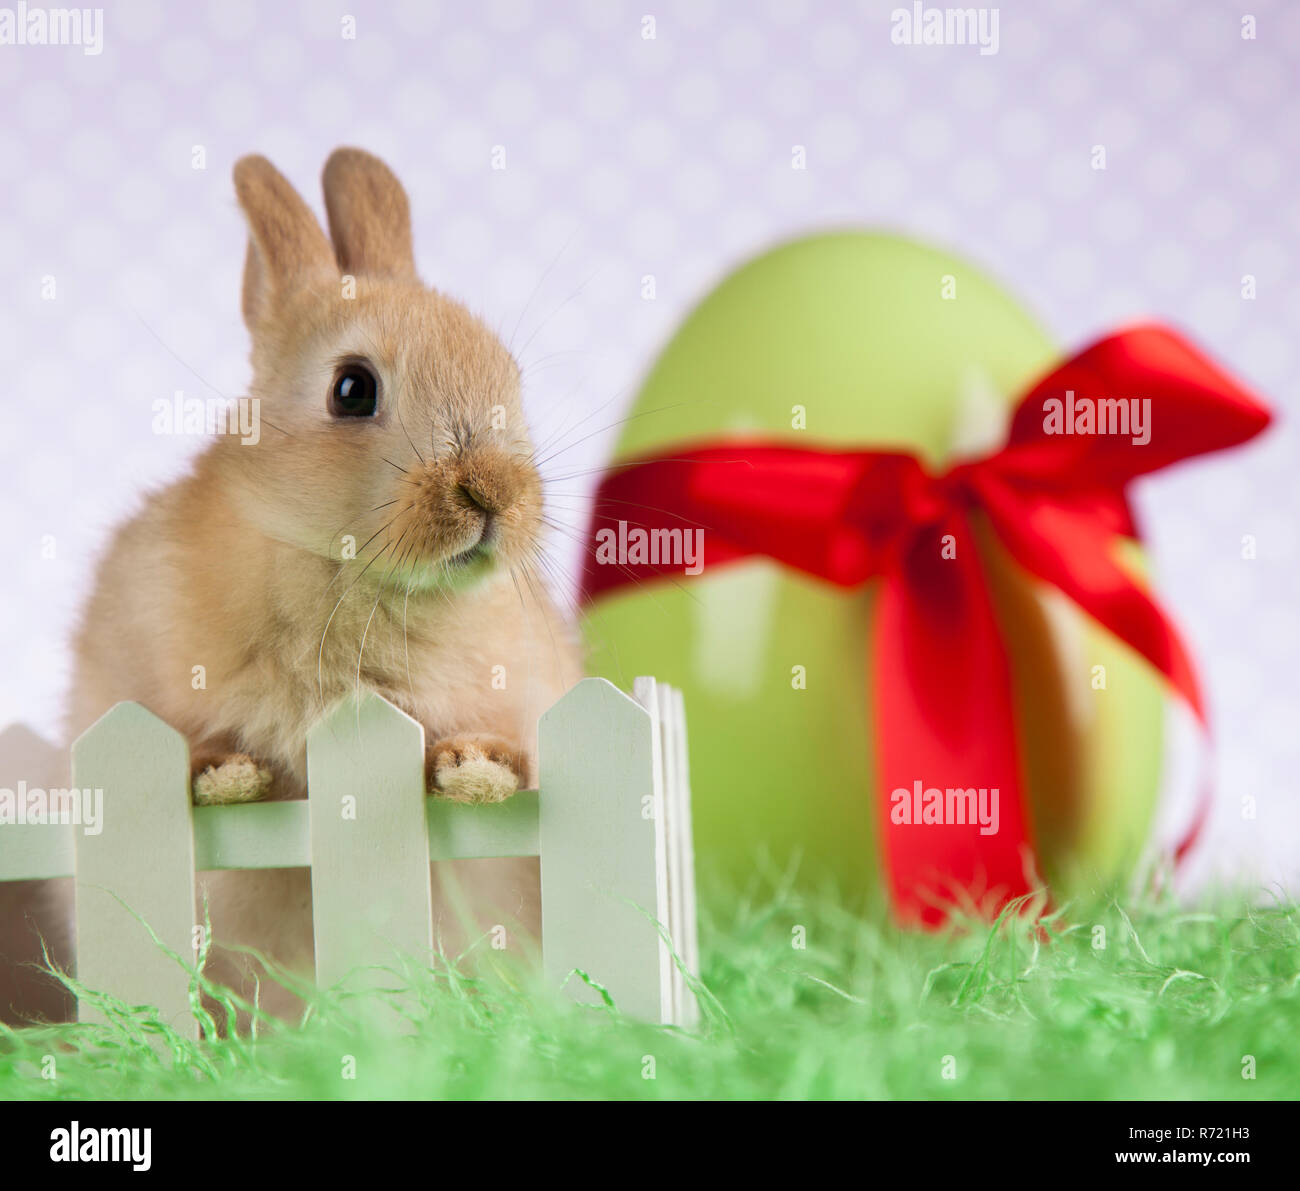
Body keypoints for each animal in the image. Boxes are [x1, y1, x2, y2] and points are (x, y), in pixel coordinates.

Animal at [60, 147, 583, 1023]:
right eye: (352, 388)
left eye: (509, 377)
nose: (492, 492)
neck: (353, 571)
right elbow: (190, 744)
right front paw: (229, 775)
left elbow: (514, 753)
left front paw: (477, 769)